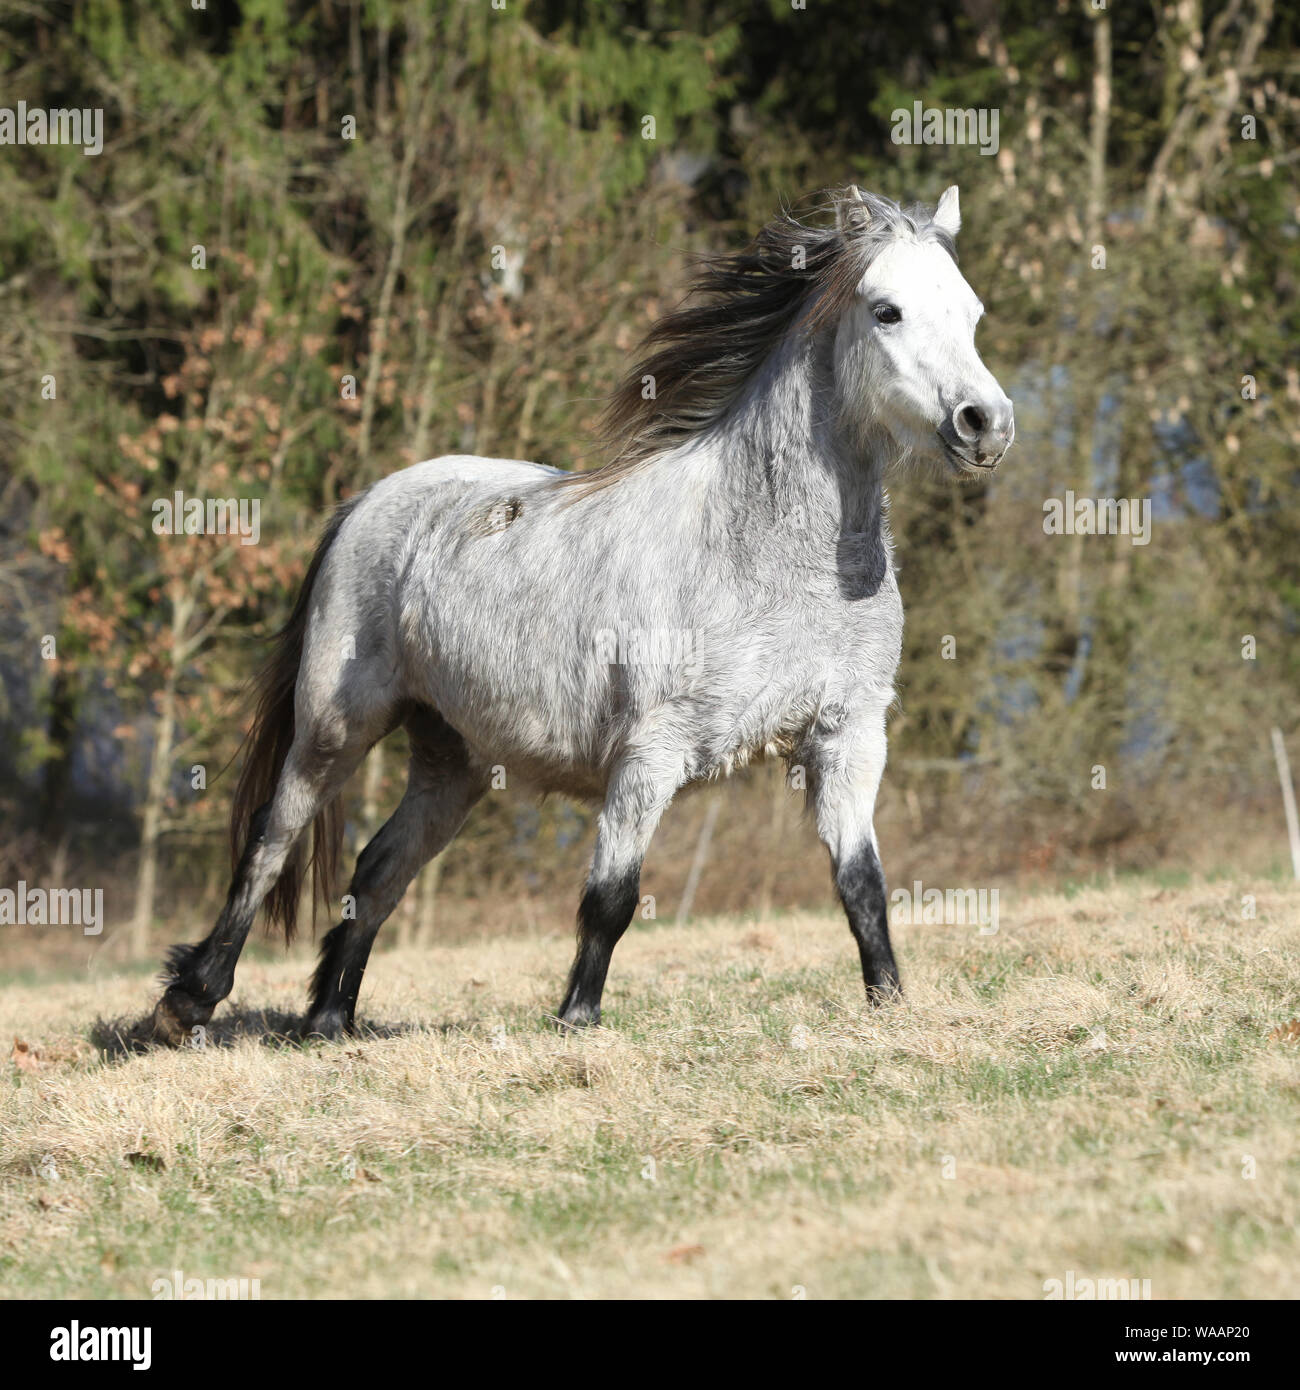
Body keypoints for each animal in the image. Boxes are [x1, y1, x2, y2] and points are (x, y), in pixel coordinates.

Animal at [150, 183, 1014, 1045]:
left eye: (972, 311)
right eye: (887, 311)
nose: (987, 424)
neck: (768, 554)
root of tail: (367, 501)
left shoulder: (847, 737)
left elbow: (862, 885)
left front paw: (889, 1005)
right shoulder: (650, 753)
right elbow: (611, 900)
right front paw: (576, 1020)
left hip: (452, 760)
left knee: (379, 870)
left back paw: (331, 1019)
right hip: (337, 726)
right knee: (272, 839)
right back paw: (189, 999)